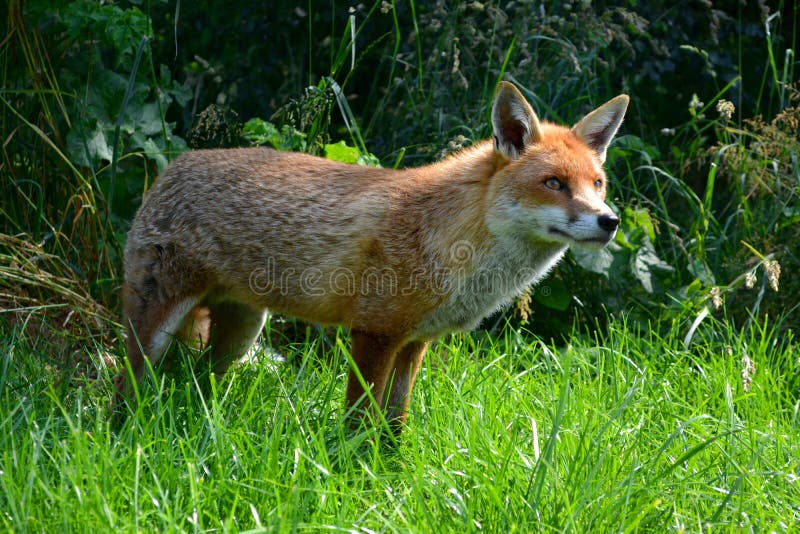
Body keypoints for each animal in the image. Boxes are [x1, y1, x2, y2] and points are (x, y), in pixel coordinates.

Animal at [117, 81, 629, 432]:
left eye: (597, 184)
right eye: (554, 183)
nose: (610, 221)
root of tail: (171, 167)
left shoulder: (415, 342)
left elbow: (395, 425)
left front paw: (391, 474)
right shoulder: (375, 334)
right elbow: (359, 420)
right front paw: (352, 473)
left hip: (240, 335)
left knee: (198, 383)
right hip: (157, 329)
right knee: (125, 387)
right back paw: (126, 433)